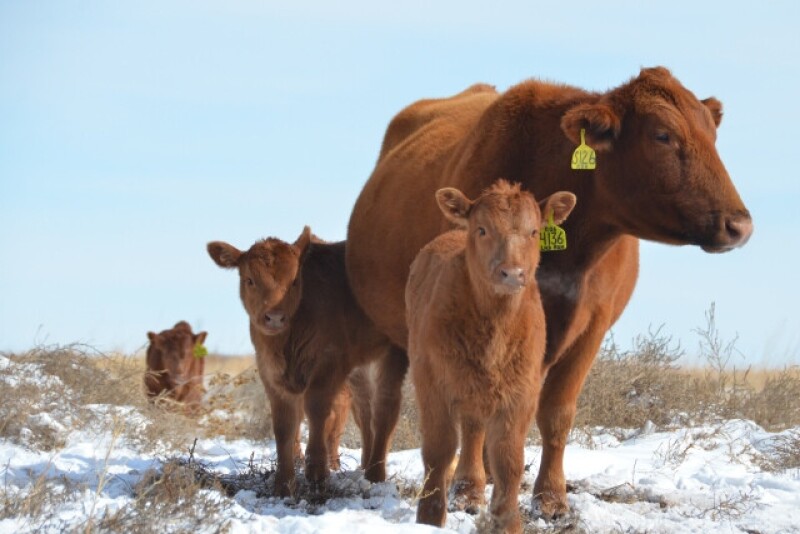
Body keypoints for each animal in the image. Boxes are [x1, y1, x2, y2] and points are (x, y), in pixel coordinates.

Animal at [207, 228, 407, 496]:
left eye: (294, 281)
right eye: (250, 280)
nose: (274, 317)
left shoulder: (329, 364)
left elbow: (317, 410)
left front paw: (318, 473)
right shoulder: (270, 372)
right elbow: (284, 424)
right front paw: (283, 484)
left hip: (394, 351)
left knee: (385, 407)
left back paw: (375, 475)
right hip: (361, 367)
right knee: (365, 411)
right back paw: (365, 466)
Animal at [407, 180, 576, 532]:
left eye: (534, 231)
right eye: (482, 229)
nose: (512, 273)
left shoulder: (521, 392)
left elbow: (509, 460)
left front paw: (508, 523)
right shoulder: (430, 383)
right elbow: (439, 451)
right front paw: (429, 519)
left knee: (474, 429)